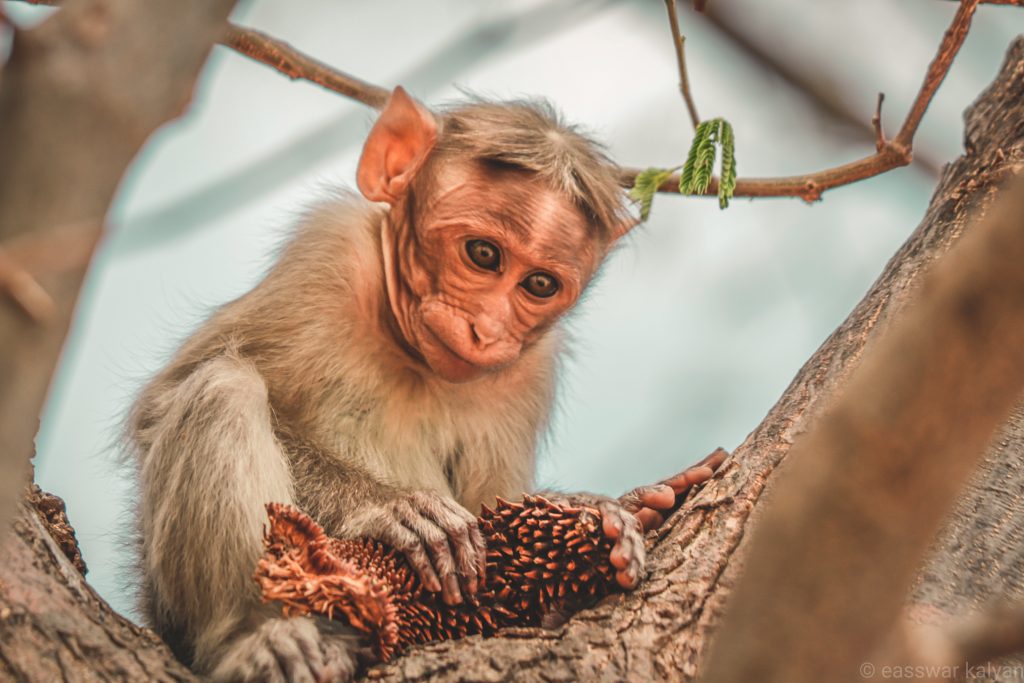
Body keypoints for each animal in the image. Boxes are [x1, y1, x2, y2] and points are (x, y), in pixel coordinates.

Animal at [126, 87, 723, 682]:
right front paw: (392, 508)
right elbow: (160, 405)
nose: (488, 332)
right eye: (483, 254)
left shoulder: (529, 368)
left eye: (539, 284)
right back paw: (253, 636)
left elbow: (492, 505)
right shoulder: (327, 252)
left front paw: (612, 510)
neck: (405, 349)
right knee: (221, 389)